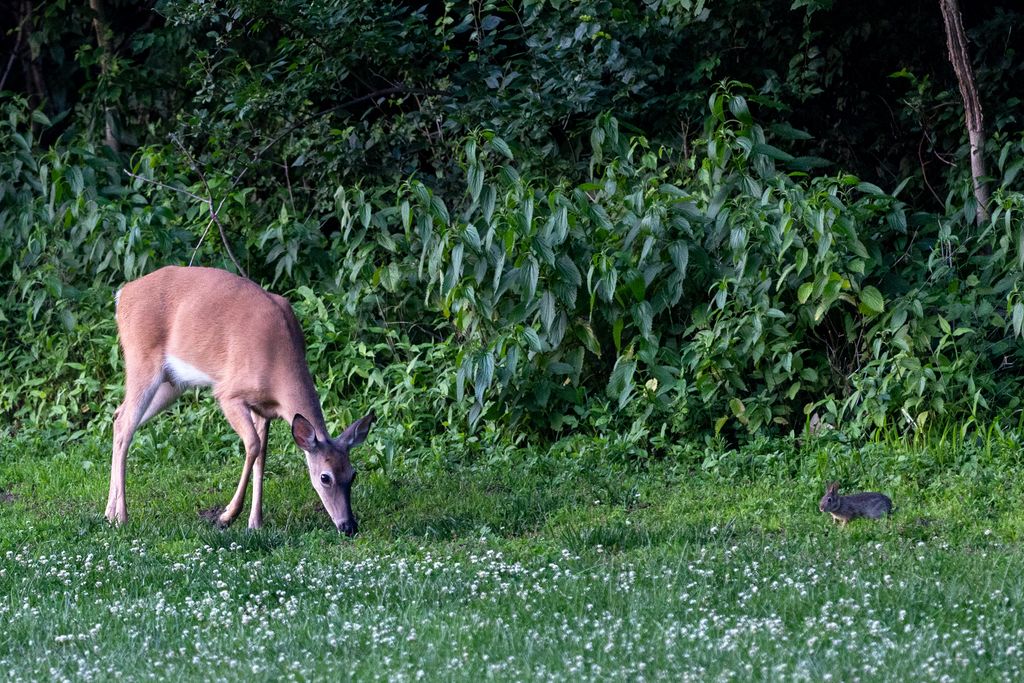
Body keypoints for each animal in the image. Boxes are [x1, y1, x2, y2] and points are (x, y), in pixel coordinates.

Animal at [105, 265, 375, 535]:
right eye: (325, 477)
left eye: (352, 474)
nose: (348, 526)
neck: (276, 362)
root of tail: (123, 294)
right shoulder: (229, 394)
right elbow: (253, 445)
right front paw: (227, 516)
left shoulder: (264, 410)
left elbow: (262, 456)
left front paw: (255, 523)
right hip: (142, 360)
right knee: (126, 423)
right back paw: (122, 517)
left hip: (171, 384)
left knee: (118, 416)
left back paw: (109, 513)